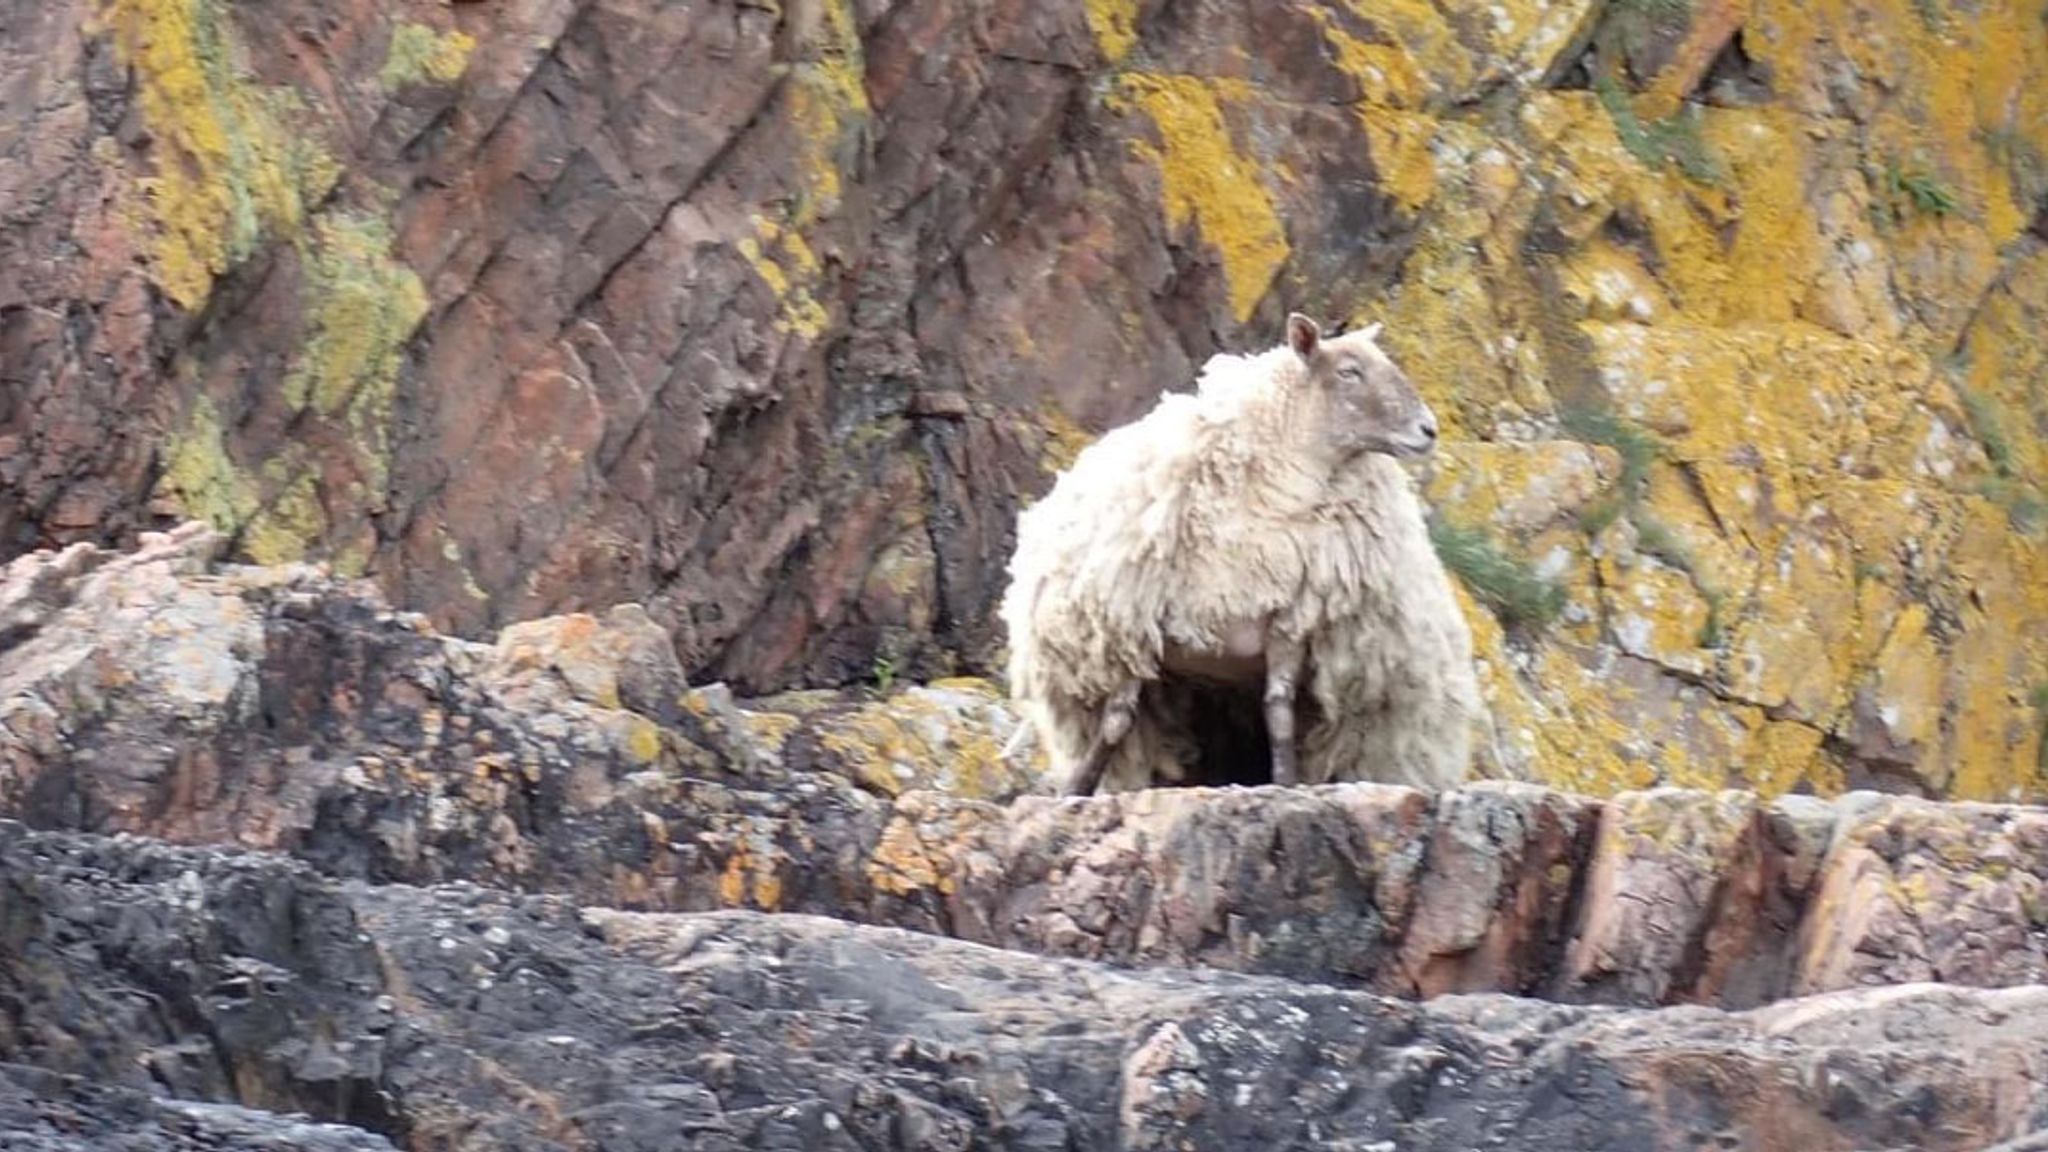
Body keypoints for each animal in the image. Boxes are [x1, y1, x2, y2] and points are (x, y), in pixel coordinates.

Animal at [999, 311, 1478, 796]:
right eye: (1349, 372)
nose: (1429, 430)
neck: (1276, 494)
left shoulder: (1291, 623)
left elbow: (1279, 712)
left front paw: (1284, 784)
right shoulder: (1135, 623)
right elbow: (1117, 719)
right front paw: (1076, 790)